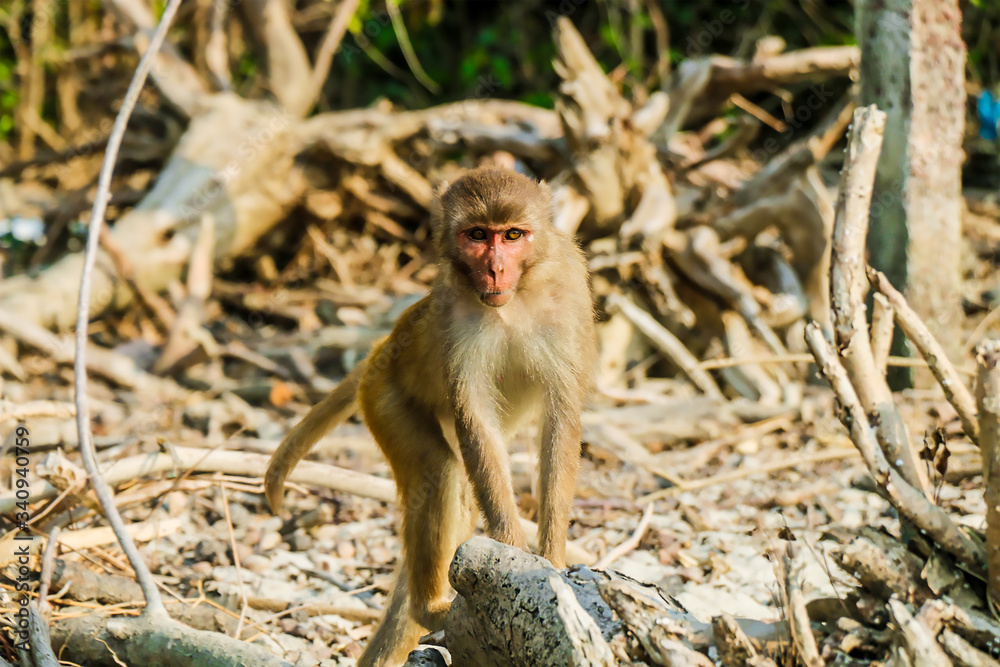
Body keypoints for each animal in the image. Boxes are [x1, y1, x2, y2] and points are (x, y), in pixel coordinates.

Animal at [264, 167, 596, 667]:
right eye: (477, 235)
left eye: (512, 235)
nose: (495, 269)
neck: (516, 299)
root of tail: (380, 351)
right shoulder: (452, 312)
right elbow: (475, 418)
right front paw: (516, 557)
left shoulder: (570, 291)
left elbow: (561, 418)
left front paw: (553, 561)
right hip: (383, 398)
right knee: (440, 473)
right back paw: (429, 608)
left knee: (455, 487)